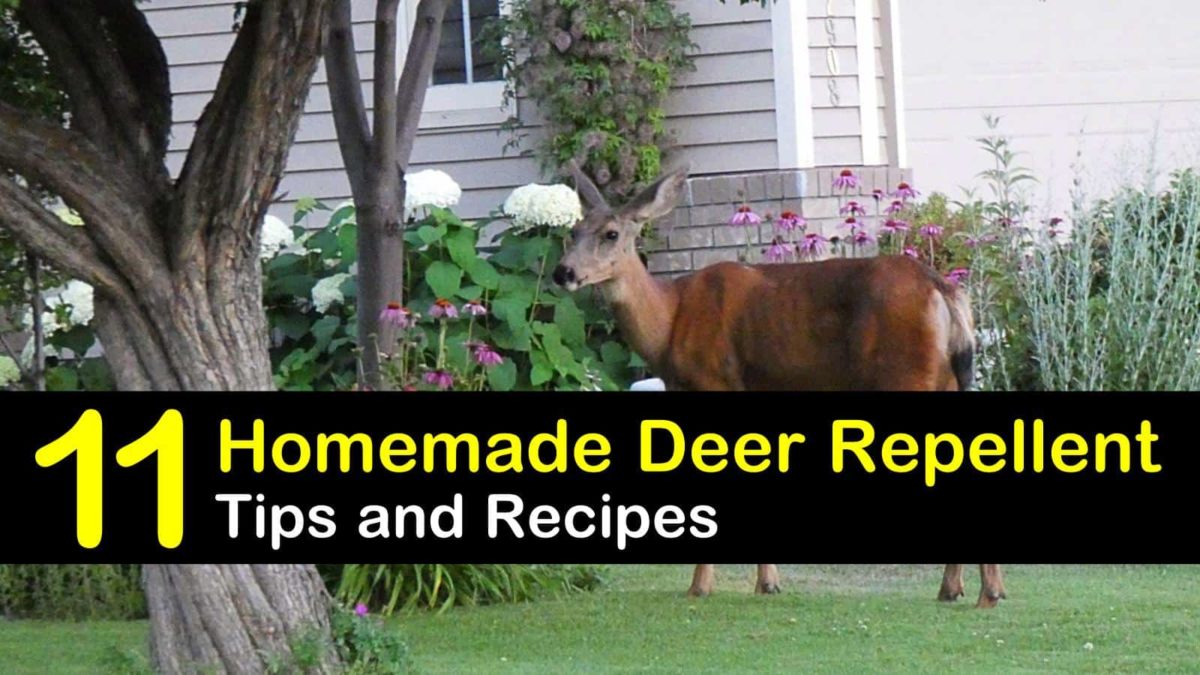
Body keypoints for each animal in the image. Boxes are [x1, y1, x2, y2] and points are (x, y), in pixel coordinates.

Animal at [552, 165, 1007, 609]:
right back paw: (958, 588)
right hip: (947, 382)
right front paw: (768, 582)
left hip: (906, 376)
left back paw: (985, 593)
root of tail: (944, 290)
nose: (563, 271)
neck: (669, 322)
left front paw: (701, 585)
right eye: (573, 230)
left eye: (611, 234)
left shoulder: (713, 385)